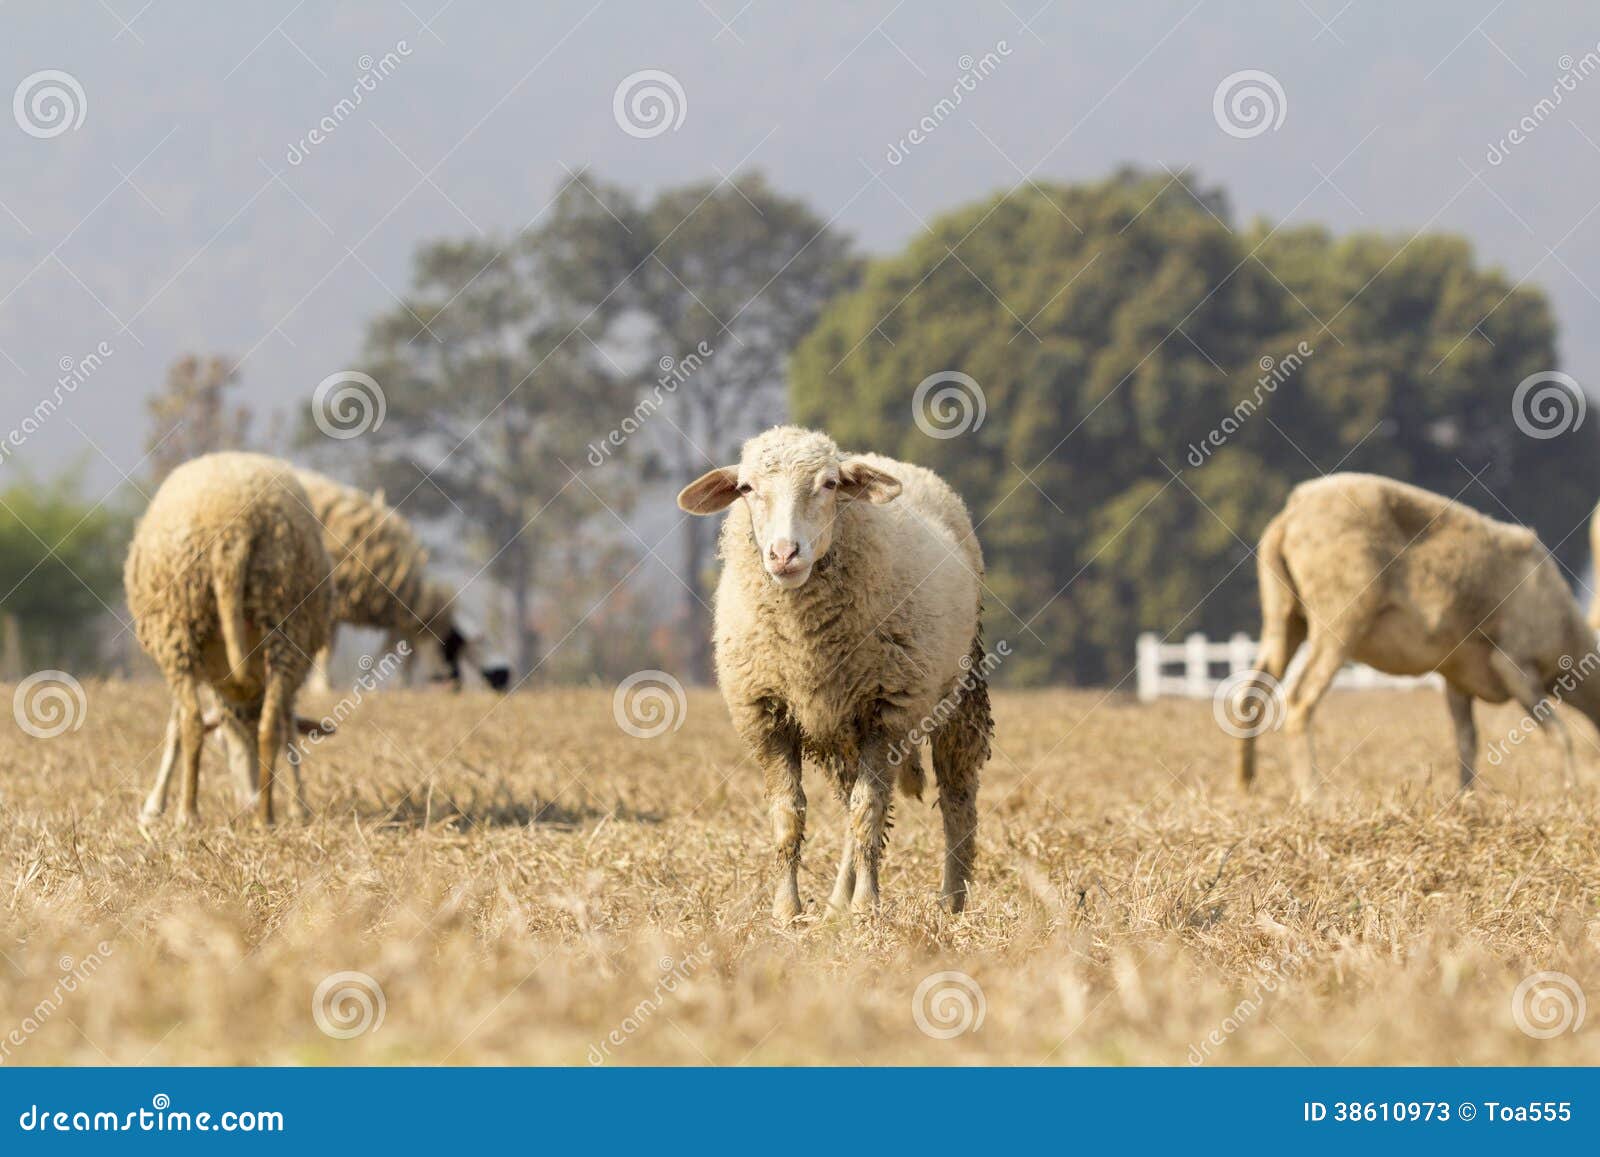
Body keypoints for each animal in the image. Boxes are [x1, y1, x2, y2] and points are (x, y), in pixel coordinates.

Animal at [125, 452, 335, 826]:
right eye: (224, 744)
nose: (247, 800)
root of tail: (232, 532)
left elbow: (173, 726)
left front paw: (153, 806)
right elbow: (289, 729)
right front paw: (299, 809)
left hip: (176, 628)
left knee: (192, 722)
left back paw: (189, 814)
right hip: (285, 622)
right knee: (270, 725)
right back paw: (264, 818)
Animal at [294, 469, 511, 691]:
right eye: (478, 641)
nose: (505, 677)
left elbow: (393, 647)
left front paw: (389, 683)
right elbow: (330, 648)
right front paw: (324, 686)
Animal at [678, 426, 993, 919]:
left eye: (829, 484)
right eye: (746, 488)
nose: (784, 553)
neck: (805, 645)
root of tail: (877, 458)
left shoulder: (887, 714)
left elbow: (869, 811)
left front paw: (867, 906)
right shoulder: (768, 718)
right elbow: (789, 815)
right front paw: (788, 909)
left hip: (960, 690)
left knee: (957, 795)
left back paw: (951, 902)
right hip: (840, 730)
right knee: (849, 804)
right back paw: (837, 903)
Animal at [1235, 472, 1600, 795]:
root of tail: (1291, 513)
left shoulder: (1457, 678)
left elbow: (1467, 741)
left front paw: (1465, 799)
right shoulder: (1514, 663)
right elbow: (1559, 734)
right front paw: (1572, 792)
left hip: (1284, 614)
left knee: (1252, 694)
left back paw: (1247, 786)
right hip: (1339, 616)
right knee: (1299, 700)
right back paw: (1314, 796)